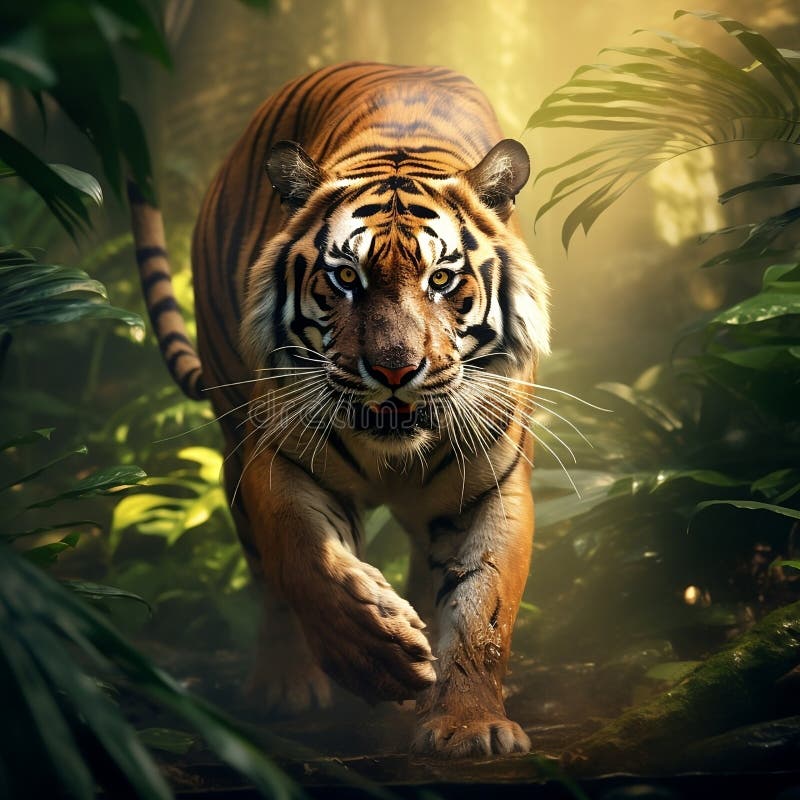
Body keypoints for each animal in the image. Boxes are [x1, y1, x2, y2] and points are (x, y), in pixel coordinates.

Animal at [128, 62, 550, 759]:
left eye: (441, 280)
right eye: (346, 278)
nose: (395, 370)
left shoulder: (493, 485)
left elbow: (481, 605)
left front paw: (468, 725)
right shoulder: (279, 460)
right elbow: (306, 559)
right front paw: (374, 652)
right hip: (233, 444)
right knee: (268, 578)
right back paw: (283, 685)